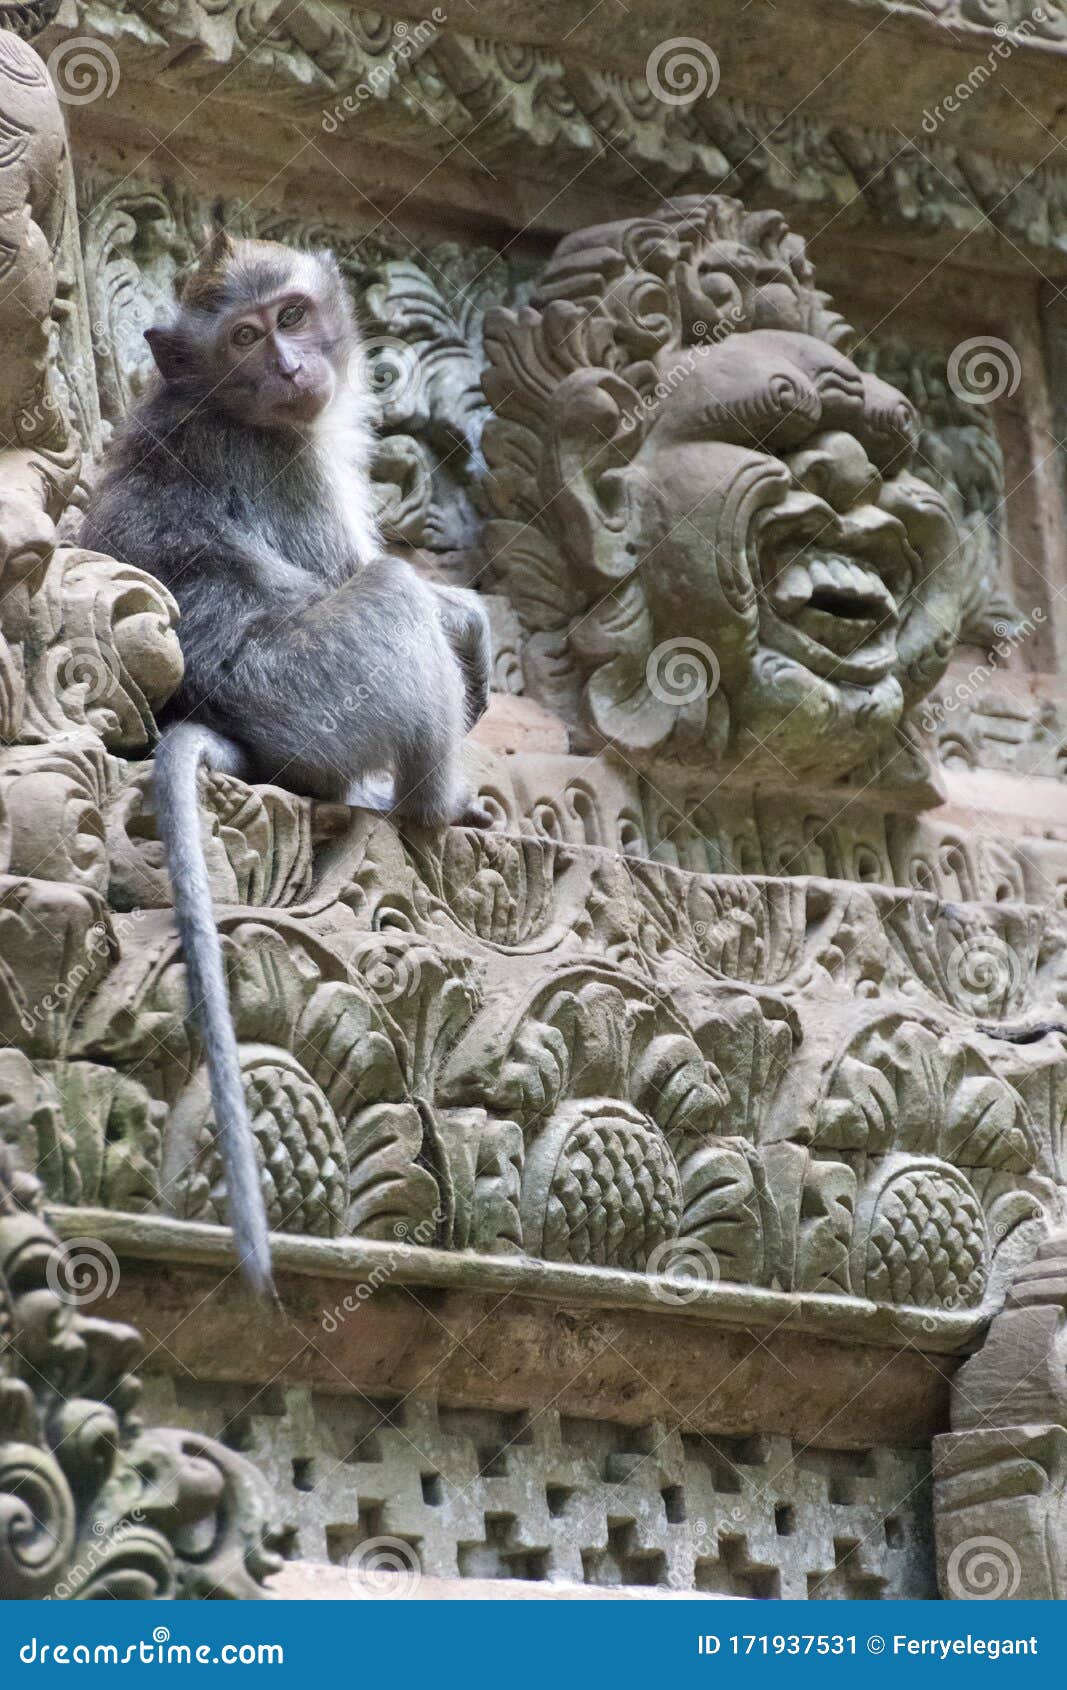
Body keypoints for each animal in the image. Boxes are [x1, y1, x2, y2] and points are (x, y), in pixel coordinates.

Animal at [80, 230, 493, 1300]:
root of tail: (223, 720)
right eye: (243, 336)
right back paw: (433, 804)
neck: (227, 404)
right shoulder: (290, 465)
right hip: (315, 697)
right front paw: (468, 623)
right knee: (388, 598)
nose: (289, 367)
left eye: (293, 316)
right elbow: (354, 575)